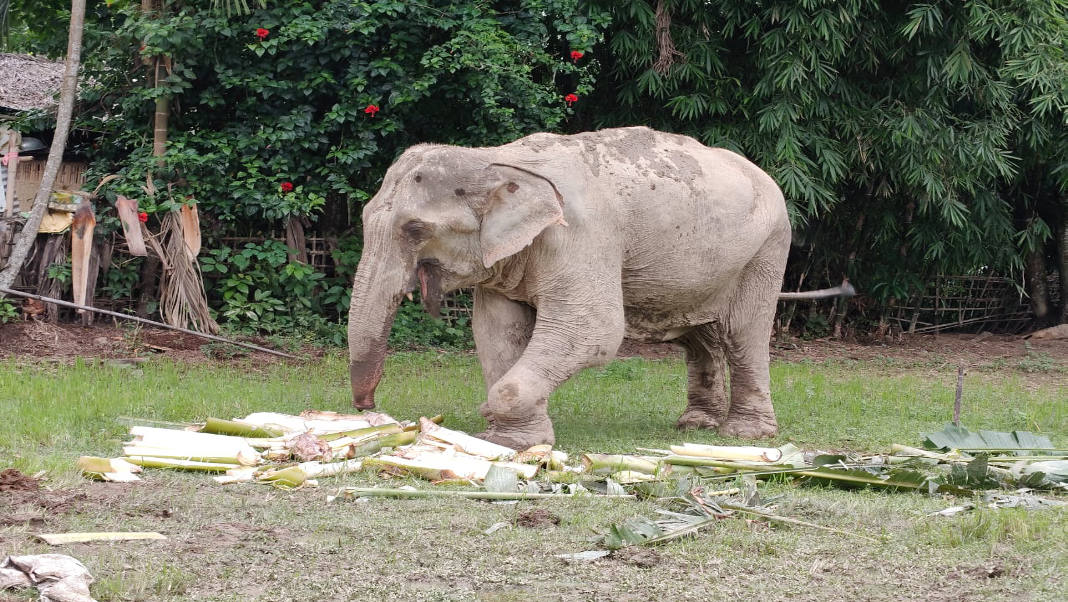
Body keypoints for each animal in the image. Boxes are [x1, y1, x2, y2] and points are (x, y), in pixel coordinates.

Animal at [347, 126, 849, 450]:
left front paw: (505, 435)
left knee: (743, 332)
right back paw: (695, 425)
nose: (371, 410)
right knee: (699, 335)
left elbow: (595, 330)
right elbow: (495, 331)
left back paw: (744, 435)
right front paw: (504, 437)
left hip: (767, 249)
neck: (496, 159)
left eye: (413, 229)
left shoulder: (585, 236)